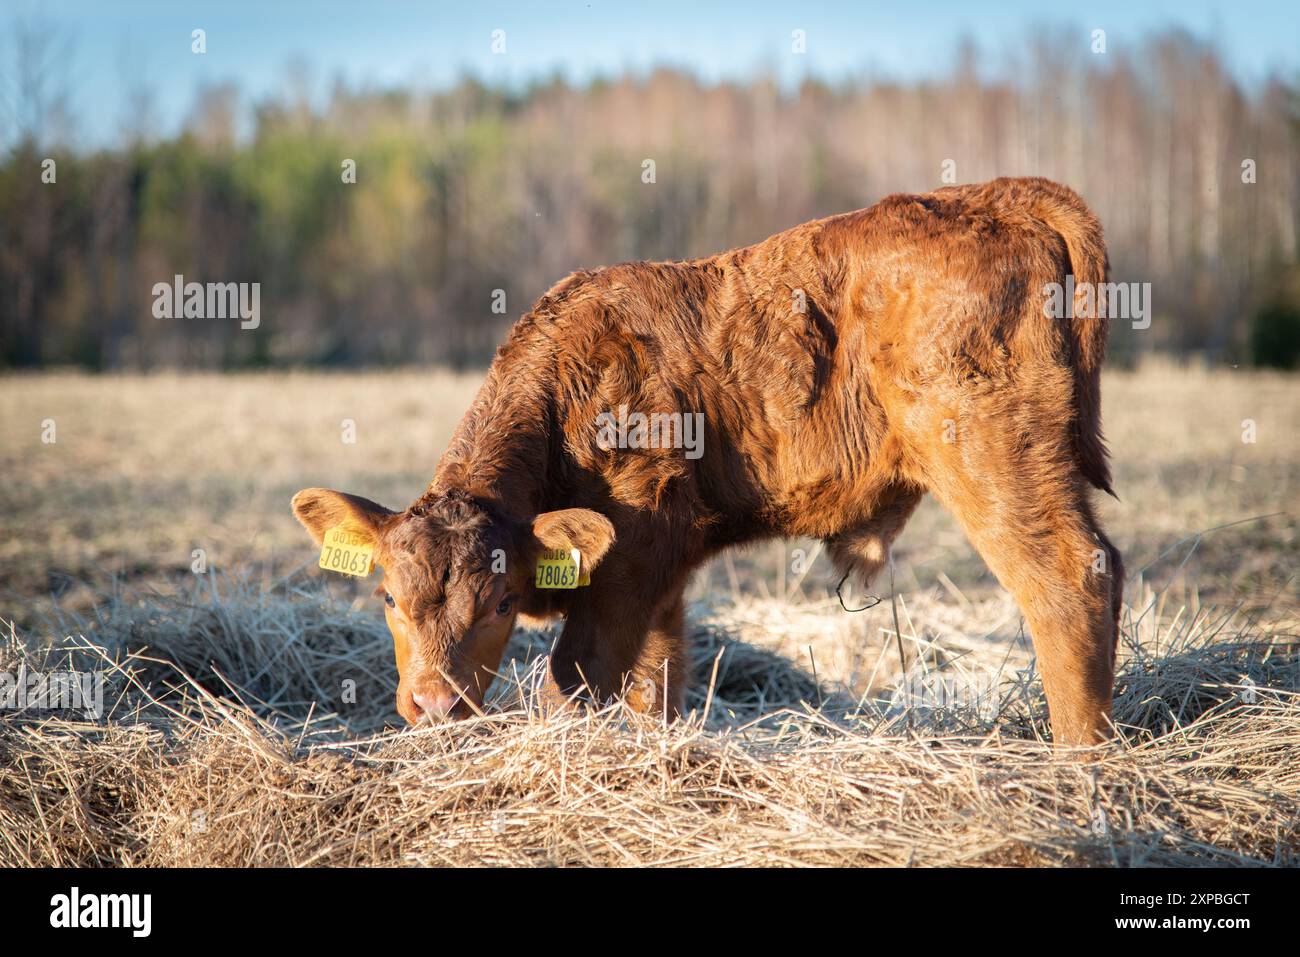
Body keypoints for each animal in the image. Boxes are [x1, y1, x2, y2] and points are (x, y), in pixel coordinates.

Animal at [292, 176, 1123, 747]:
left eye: (498, 603)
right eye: (387, 597)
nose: (434, 703)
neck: (566, 395)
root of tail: (1000, 195)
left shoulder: (632, 560)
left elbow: (573, 680)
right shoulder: (662, 574)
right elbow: (657, 683)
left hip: (994, 455)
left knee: (1067, 583)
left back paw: (1077, 764)